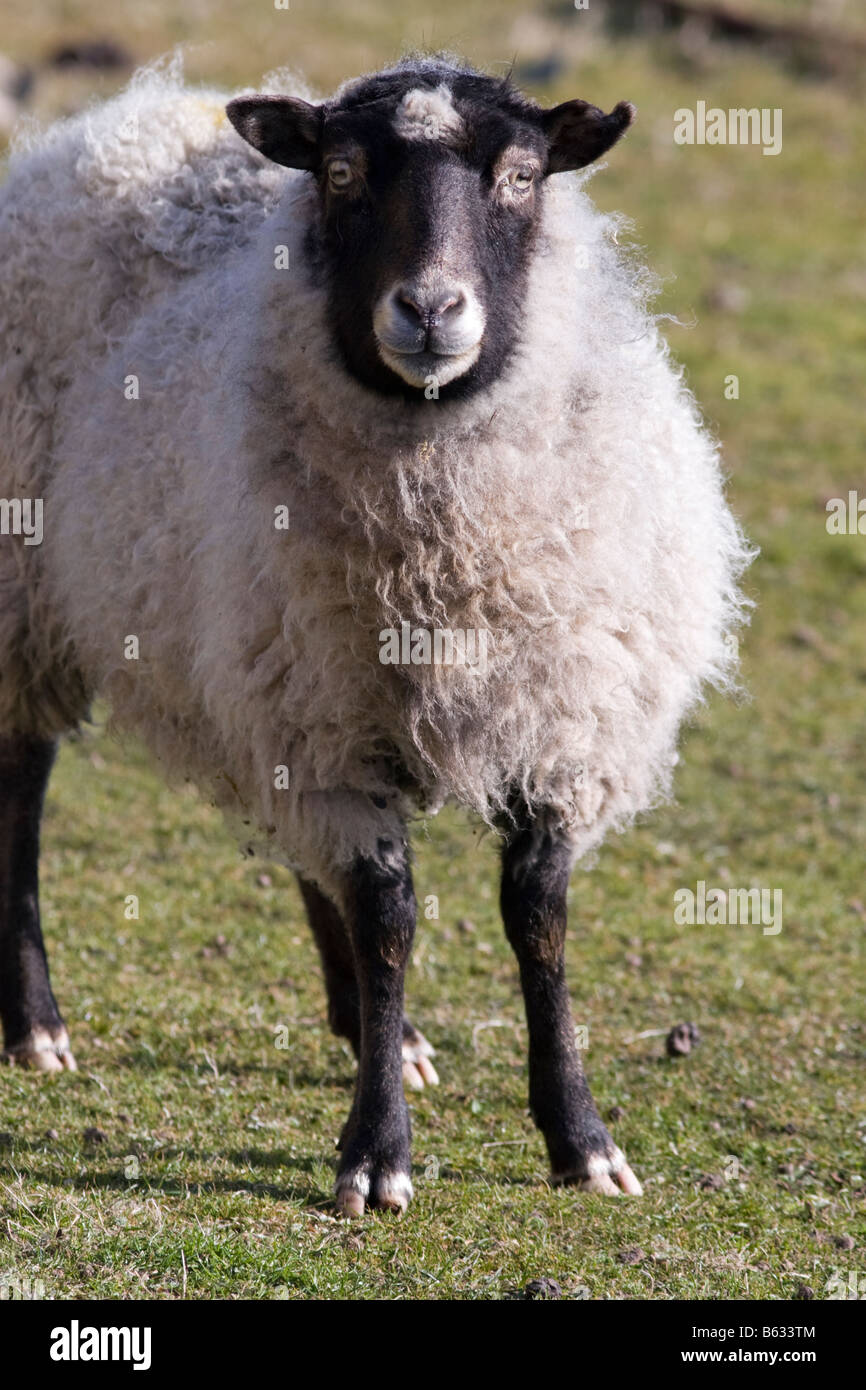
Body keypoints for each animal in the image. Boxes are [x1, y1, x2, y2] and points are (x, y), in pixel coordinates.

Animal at [0, 54, 753, 1215]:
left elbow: (535, 915)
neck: (444, 560)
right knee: (24, 778)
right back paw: (38, 1025)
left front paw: (580, 1139)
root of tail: (124, 117)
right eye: (344, 172)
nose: (431, 307)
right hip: (36, 596)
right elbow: (390, 915)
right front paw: (376, 1155)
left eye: (521, 174)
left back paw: (375, 1033)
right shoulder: (330, 725)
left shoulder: (553, 723)